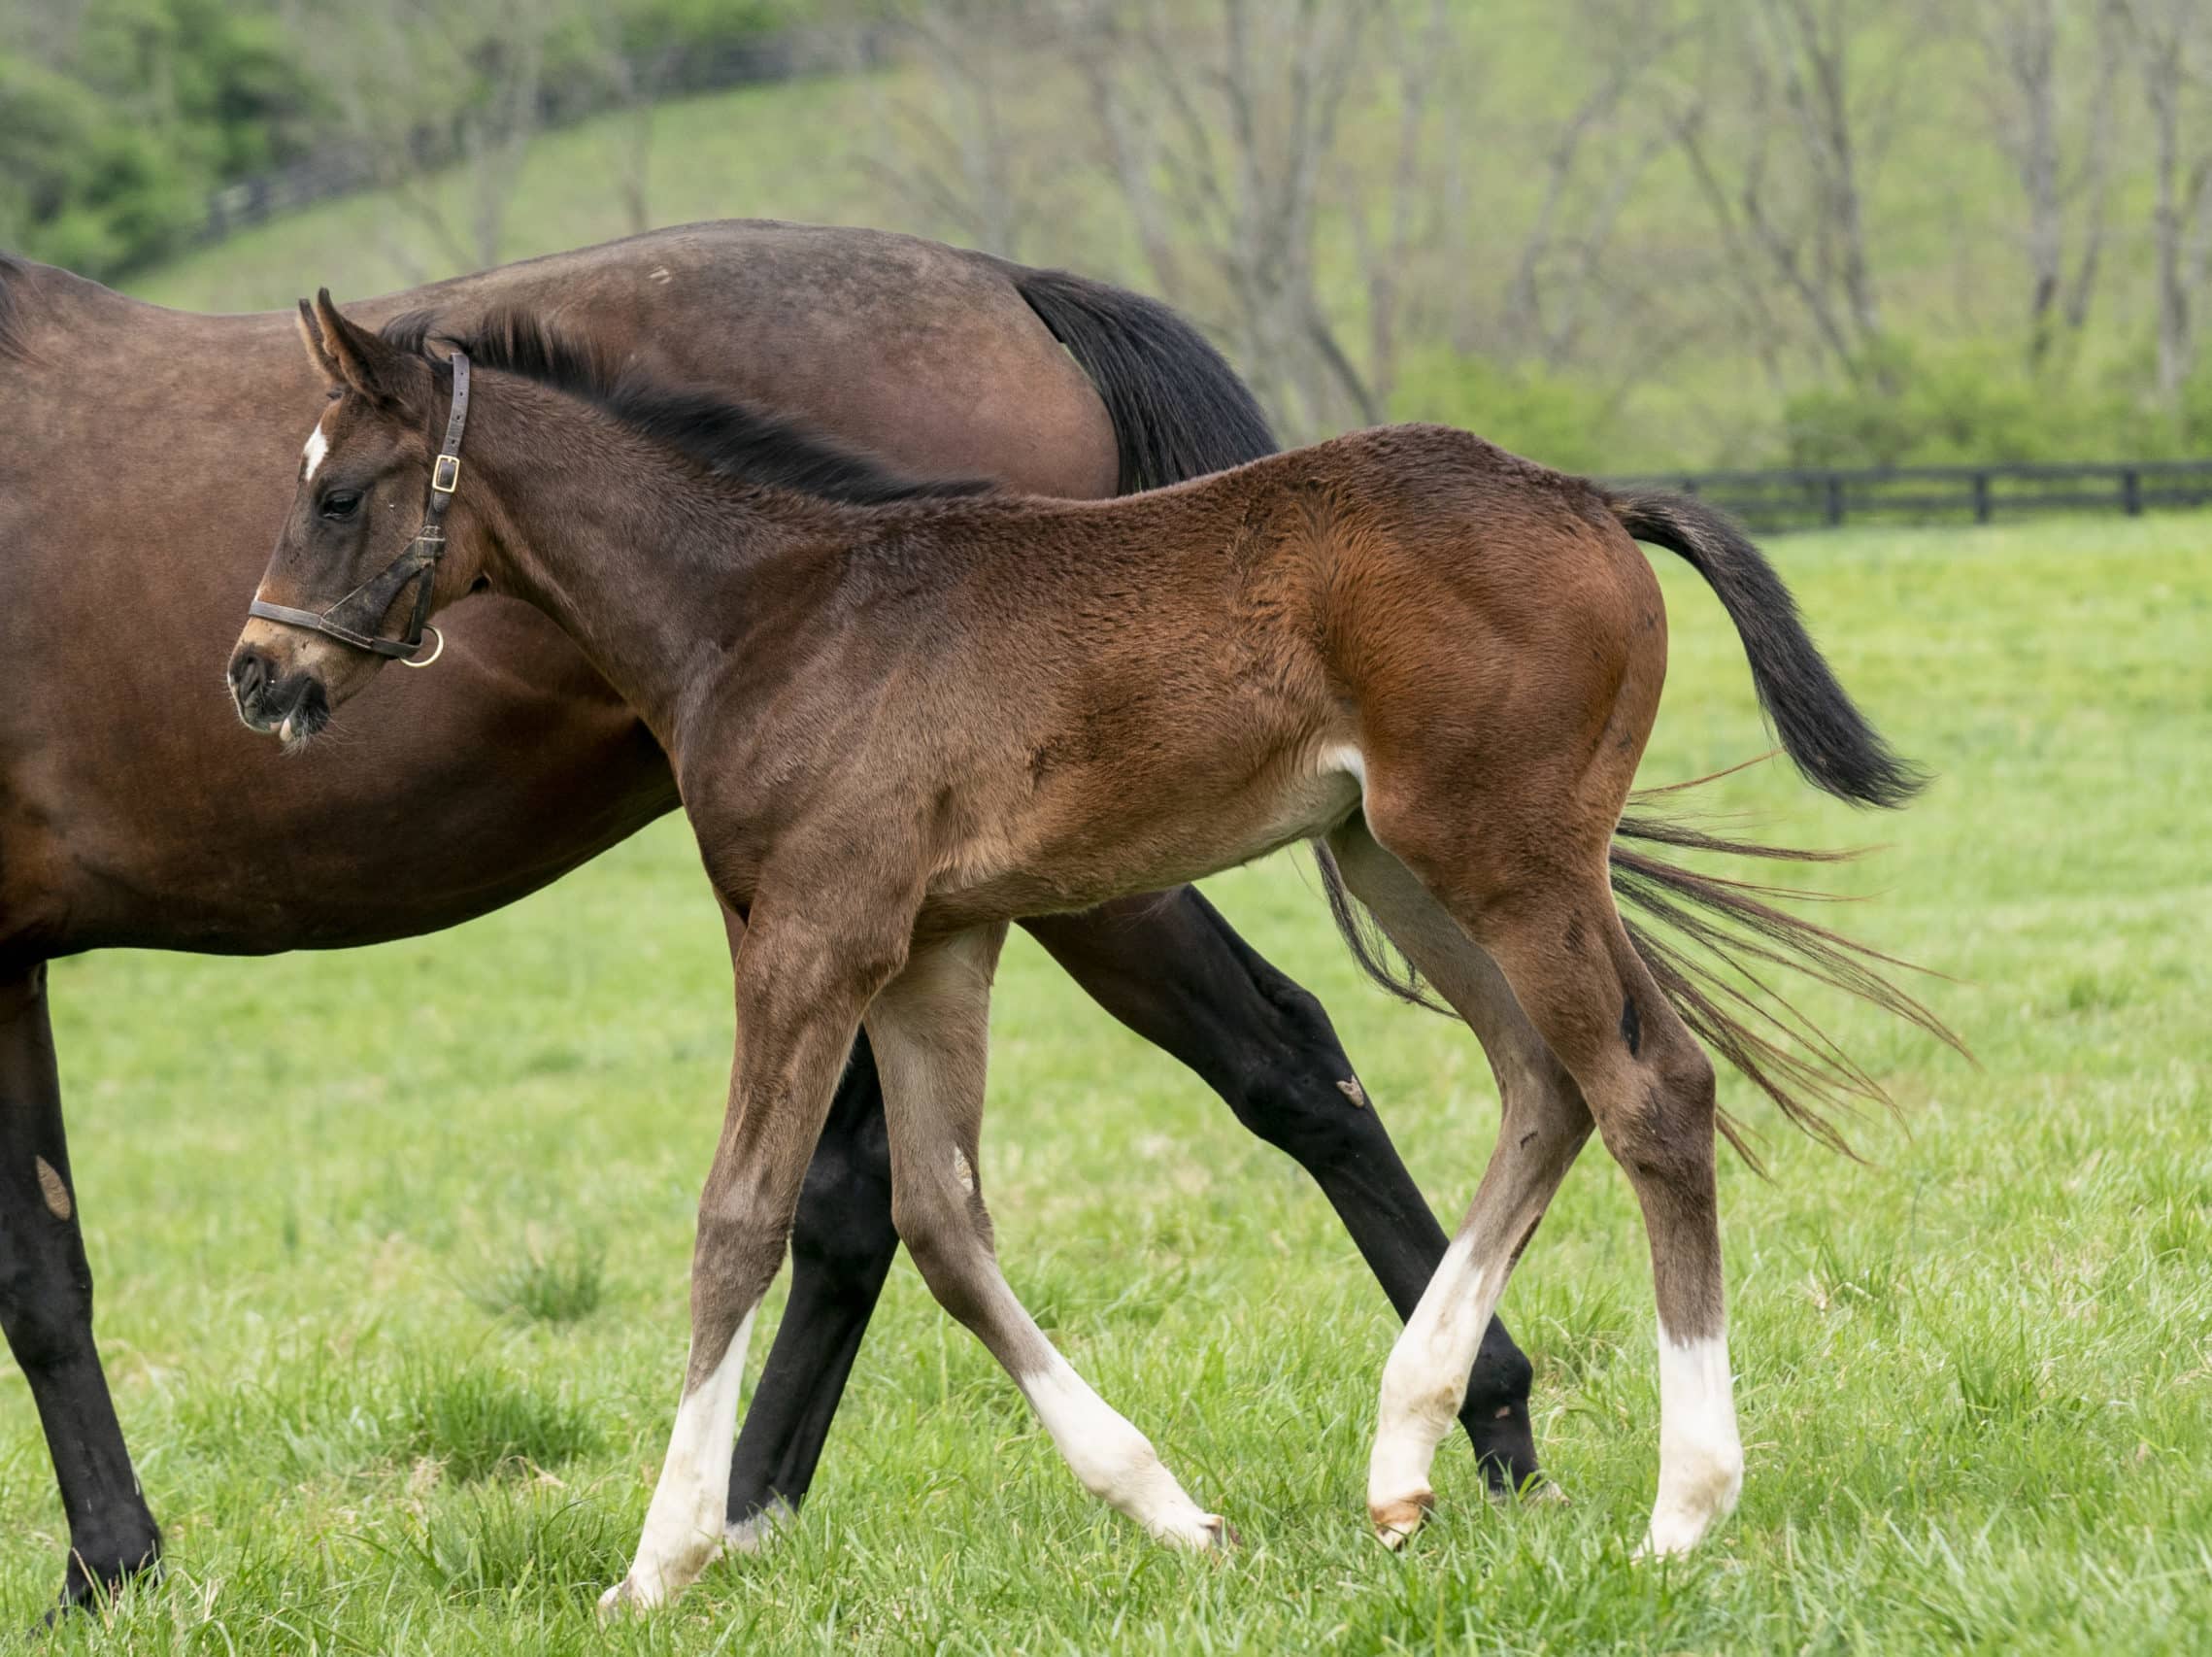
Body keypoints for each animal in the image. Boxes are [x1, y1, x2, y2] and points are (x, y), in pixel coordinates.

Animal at [1, 222, 1557, 1614]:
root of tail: (1015, 286)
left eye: (337, 499)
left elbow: (39, 1276)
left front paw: (109, 1570)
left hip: (1090, 884)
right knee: (890, 1194)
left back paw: (1478, 1419)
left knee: (1290, 1059)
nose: (256, 676)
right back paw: (757, 1507)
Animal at [229, 294, 1935, 1611]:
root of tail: (1582, 494)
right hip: (1400, 862)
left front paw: (659, 1561)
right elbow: (940, 1220)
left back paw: (1682, 1504)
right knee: (1543, 1080)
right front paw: (1167, 1506)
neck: (769, 614)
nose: (255, 675)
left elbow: (740, 1217)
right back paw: (1400, 1455)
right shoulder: (935, 942)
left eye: (340, 493)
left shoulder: (816, 932)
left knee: (1649, 1090)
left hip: (1504, 857)